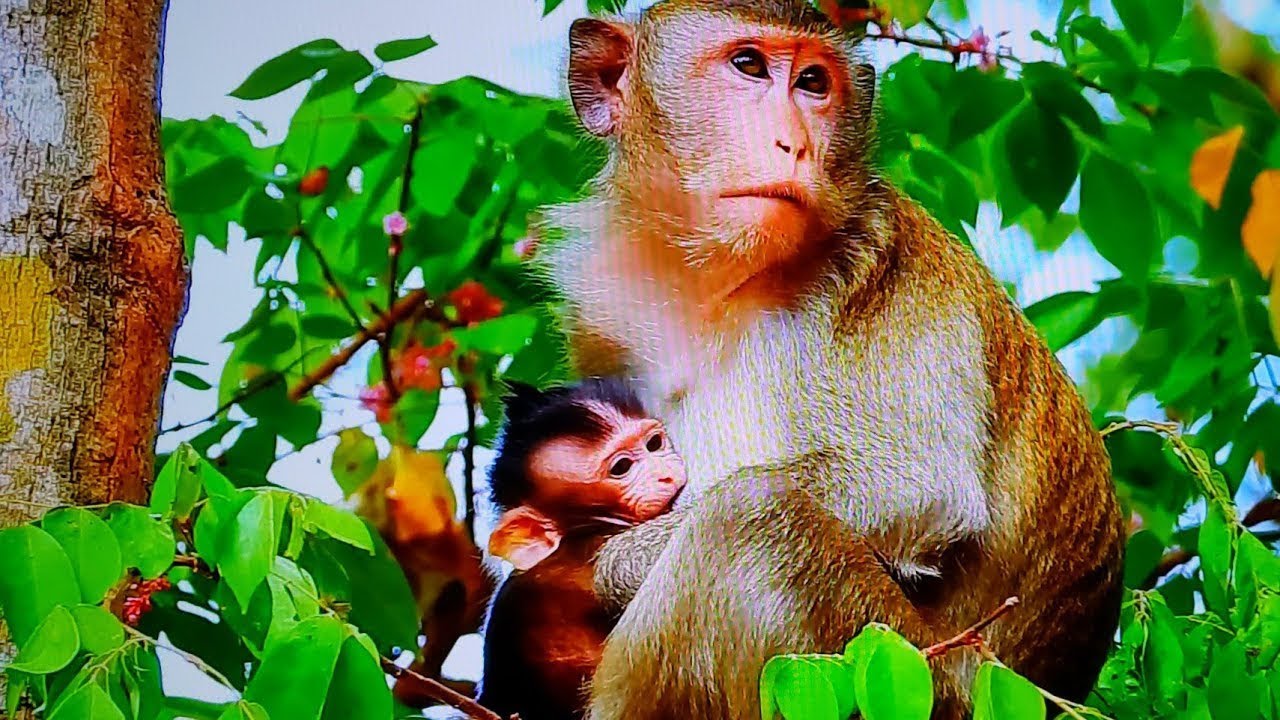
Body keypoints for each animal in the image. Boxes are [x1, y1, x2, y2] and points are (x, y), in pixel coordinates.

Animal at [528, 2, 1127, 718]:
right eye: (749, 64)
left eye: (814, 82)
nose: (795, 144)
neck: (715, 287)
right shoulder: (603, 309)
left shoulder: (874, 268)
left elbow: (913, 488)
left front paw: (599, 563)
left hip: (907, 670)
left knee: (754, 521)